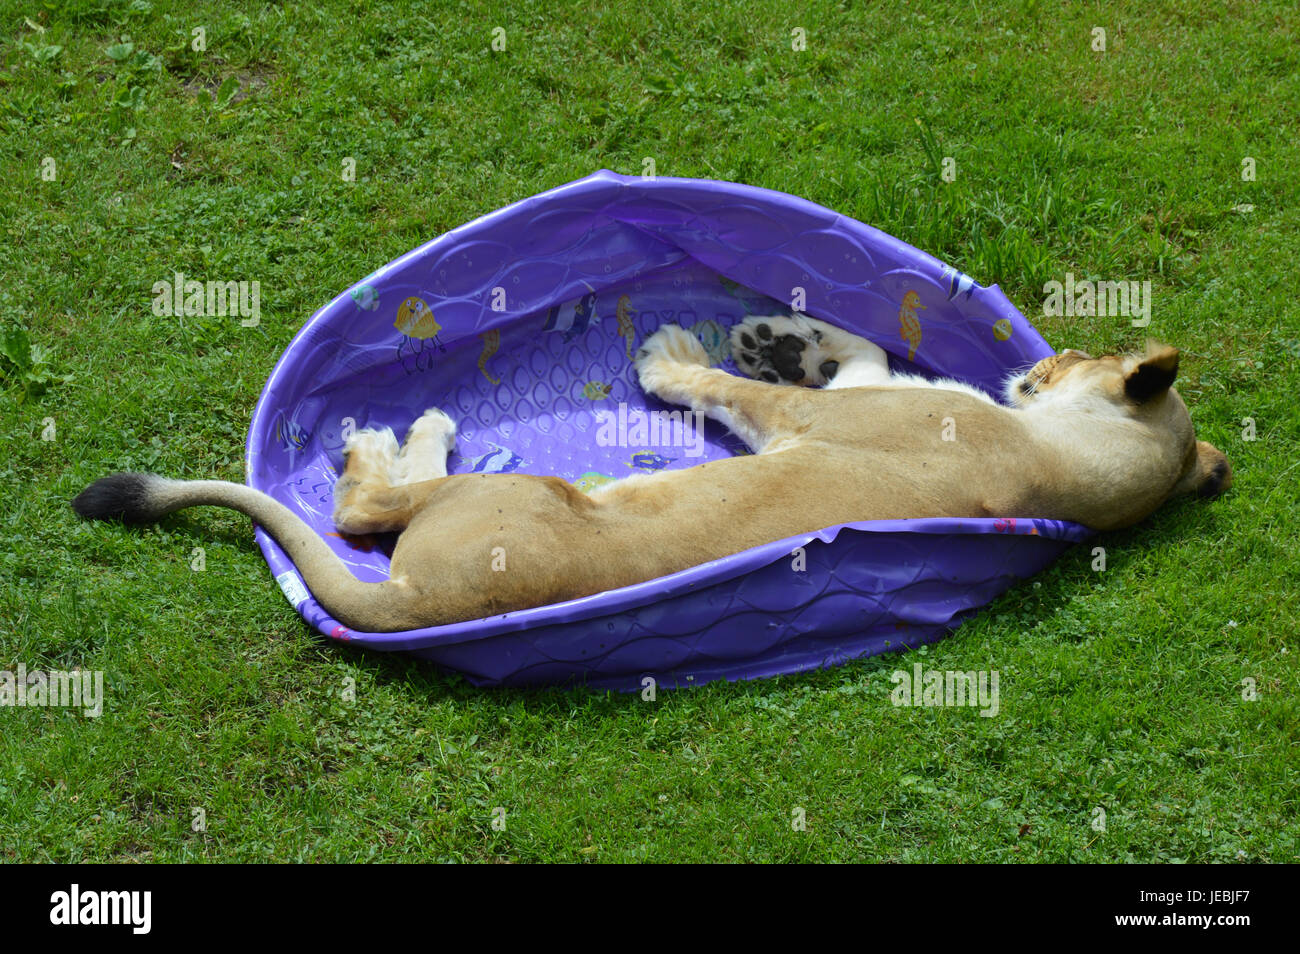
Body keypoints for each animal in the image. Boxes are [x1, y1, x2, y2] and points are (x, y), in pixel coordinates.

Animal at [72, 315, 1231, 632]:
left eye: (1078, 356)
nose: (1039, 361)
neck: (1057, 464)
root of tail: (414, 601)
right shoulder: (857, 391)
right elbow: (856, 345)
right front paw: (778, 333)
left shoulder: (809, 421)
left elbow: (721, 384)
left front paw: (676, 355)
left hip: (504, 496)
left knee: (366, 506)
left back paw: (405, 436)